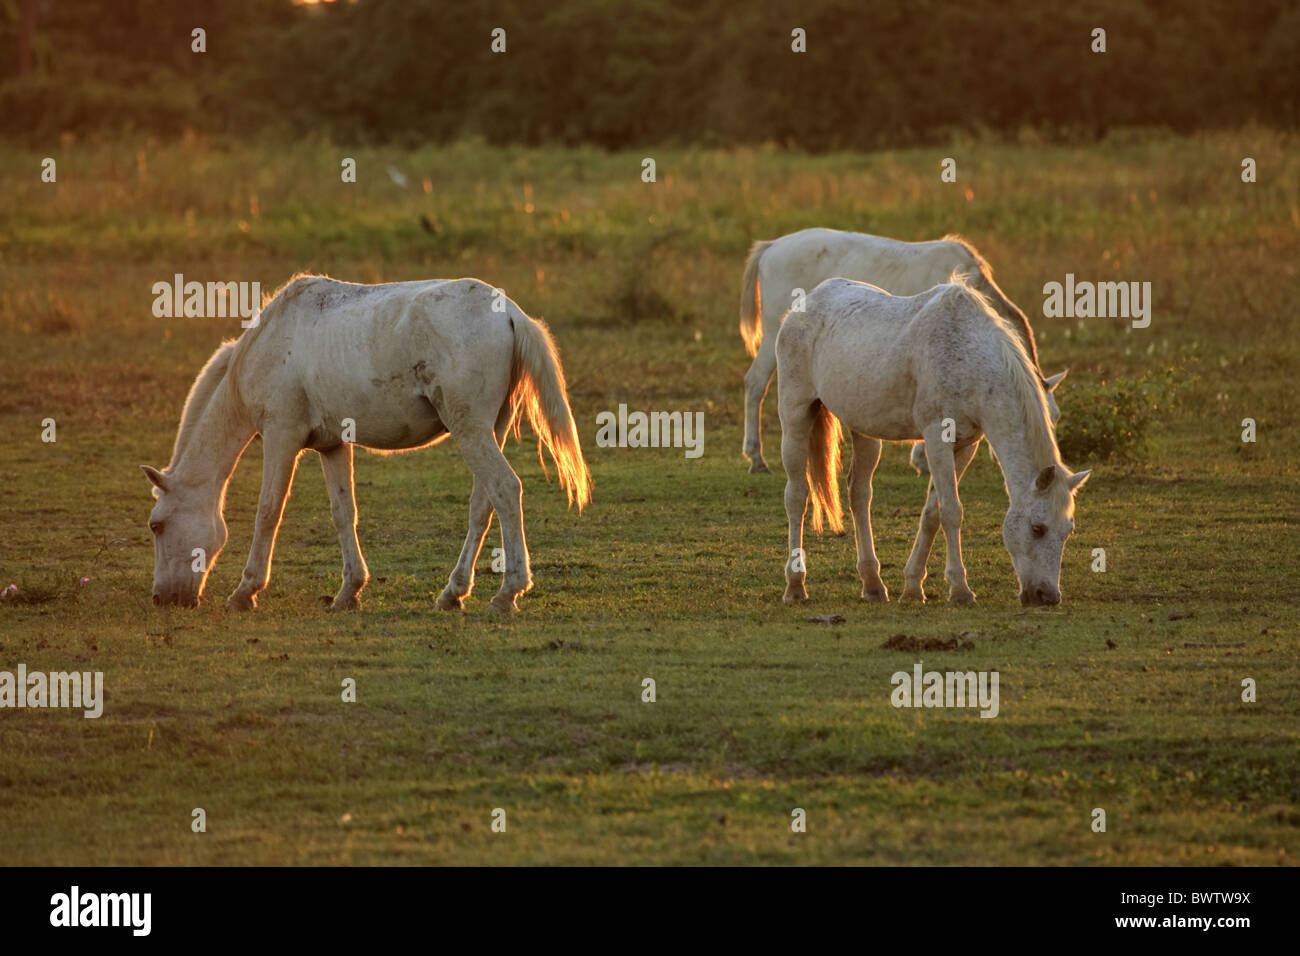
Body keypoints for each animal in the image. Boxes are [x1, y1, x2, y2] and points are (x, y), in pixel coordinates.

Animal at [141, 275, 591, 616]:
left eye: (156, 525)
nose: (163, 599)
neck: (271, 340)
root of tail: (511, 313)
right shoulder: (332, 447)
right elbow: (344, 513)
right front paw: (349, 592)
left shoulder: (281, 437)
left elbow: (269, 511)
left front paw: (246, 591)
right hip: (487, 433)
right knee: (484, 505)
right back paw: (453, 593)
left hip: (473, 432)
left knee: (506, 490)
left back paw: (507, 593)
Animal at [739, 228, 1065, 474]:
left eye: (1055, 418)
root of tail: (772, 246)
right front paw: (921, 459)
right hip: (773, 334)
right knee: (755, 384)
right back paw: (756, 457)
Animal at [775, 276, 1090, 607]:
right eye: (1037, 528)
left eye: (1068, 531)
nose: (1047, 596)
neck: (968, 357)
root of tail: (805, 303)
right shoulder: (937, 439)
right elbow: (951, 511)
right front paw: (960, 589)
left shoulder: (965, 446)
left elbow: (932, 514)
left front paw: (913, 587)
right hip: (795, 416)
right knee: (797, 495)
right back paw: (795, 585)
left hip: (865, 431)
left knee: (859, 494)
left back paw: (873, 584)